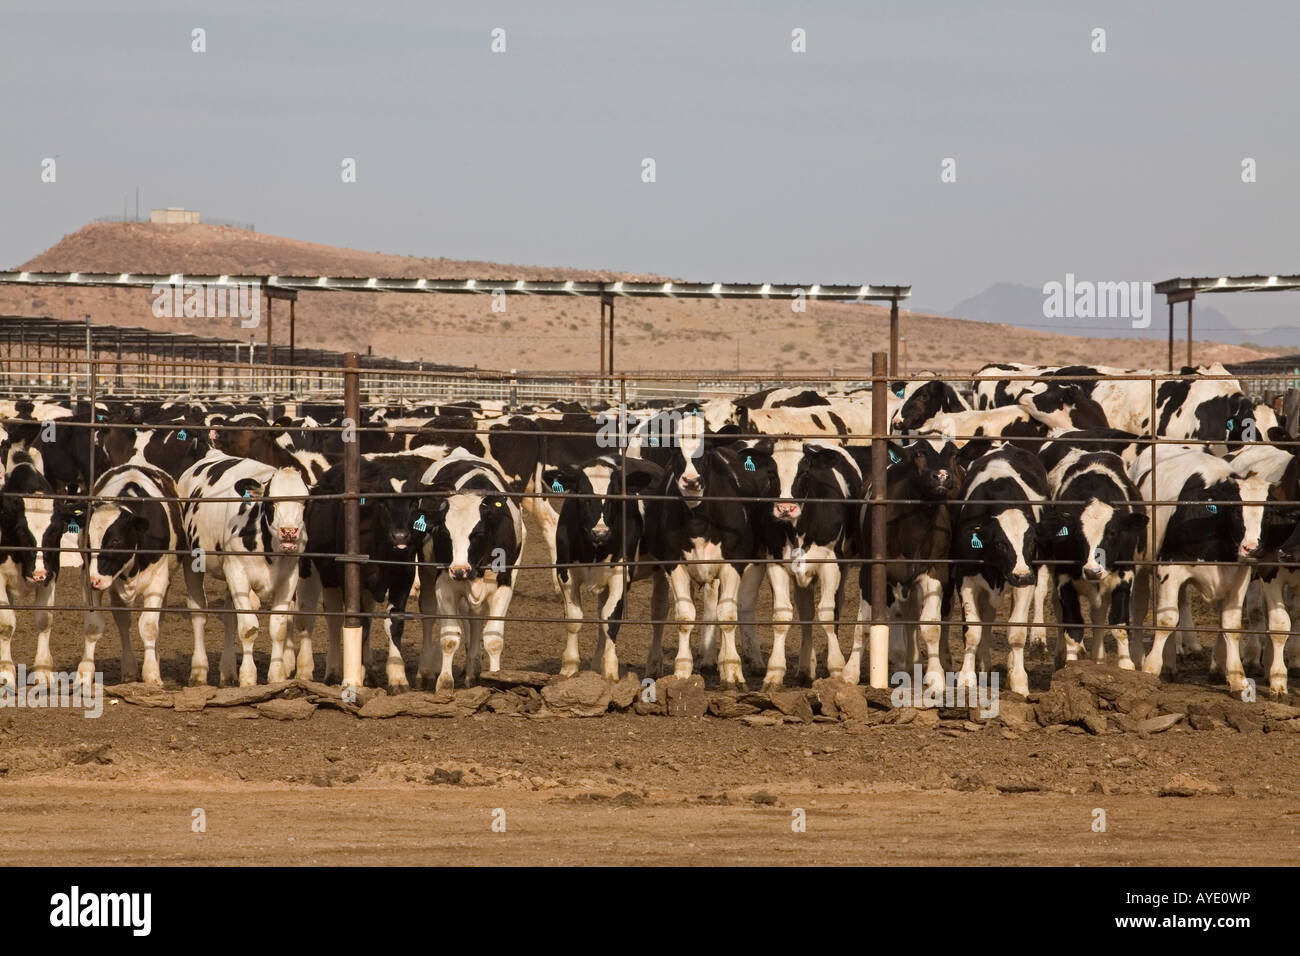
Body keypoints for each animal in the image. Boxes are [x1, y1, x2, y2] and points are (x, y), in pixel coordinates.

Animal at [0, 460, 74, 686]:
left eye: (56, 530)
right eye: (22, 531)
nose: (39, 573)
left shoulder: (53, 573)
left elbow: (44, 620)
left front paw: (42, 671)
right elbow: (6, 624)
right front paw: (5, 672)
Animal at [80, 463, 183, 688]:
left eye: (116, 541)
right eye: (87, 540)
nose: (95, 581)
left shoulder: (158, 582)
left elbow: (149, 626)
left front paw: (152, 673)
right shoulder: (88, 578)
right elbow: (93, 625)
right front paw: (84, 672)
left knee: (156, 621)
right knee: (123, 623)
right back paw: (128, 669)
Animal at [177, 453, 309, 687]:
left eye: (304, 501)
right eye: (271, 501)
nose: (289, 532)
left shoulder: (289, 577)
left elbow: (278, 628)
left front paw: (276, 675)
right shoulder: (237, 573)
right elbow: (248, 628)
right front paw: (248, 678)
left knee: (229, 617)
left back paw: (228, 671)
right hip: (191, 559)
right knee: (199, 613)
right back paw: (199, 671)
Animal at [415, 449, 524, 690]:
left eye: (478, 533)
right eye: (445, 533)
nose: (459, 570)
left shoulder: (503, 584)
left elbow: (493, 638)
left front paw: (496, 678)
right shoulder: (444, 584)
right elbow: (449, 637)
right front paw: (445, 682)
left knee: (474, 618)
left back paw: (473, 672)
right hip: (427, 575)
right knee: (428, 615)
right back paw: (425, 673)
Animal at [951, 445, 1051, 694]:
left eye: (1031, 542)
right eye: (1000, 544)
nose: (1021, 576)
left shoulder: (1027, 579)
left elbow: (1016, 631)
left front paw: (1018, 682)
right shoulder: (964, 577)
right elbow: (973, 631)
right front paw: (967, 679)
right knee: (986, 618)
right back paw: (984, 667)